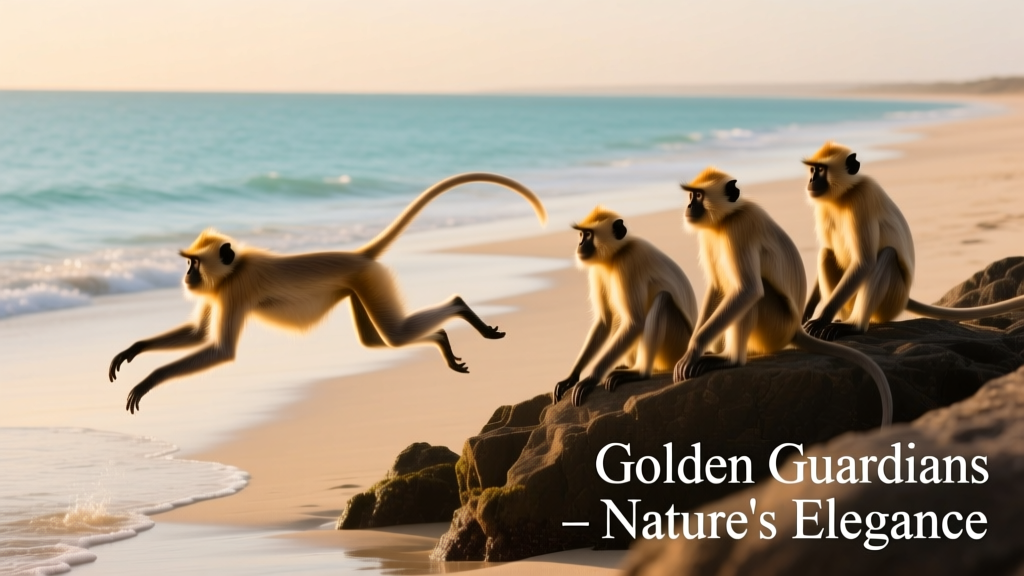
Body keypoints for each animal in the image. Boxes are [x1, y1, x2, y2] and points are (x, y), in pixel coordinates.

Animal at [108, 172, 547, 414]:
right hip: (359, 286)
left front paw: (148, 380)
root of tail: (357, 255)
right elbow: (201, 335)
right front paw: (132, 351)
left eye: (193, 264)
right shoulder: (219, 291)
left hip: (368, 279)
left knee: (393, 334)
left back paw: (458, 309)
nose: (186, 276)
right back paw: (441, 337)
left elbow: (220, 350)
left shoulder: (236, 290)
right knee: (378, 340)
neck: (237, 268)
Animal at [552, 207, 698, 407]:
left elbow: (635, 322)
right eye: (581, 234)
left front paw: (591, 379)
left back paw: (640, 372)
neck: (617, 253)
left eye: (588, 235)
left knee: (663, 300)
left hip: (678, 343)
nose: (580, 244)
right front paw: (572, 377)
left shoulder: (628, 262)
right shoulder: (598, 269)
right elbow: (605, 320)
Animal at [674, 167, 893, 427]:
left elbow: (748, 290)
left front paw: (693, 351)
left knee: (753, 295)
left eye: (698, 196)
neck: (726, 218)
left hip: (775, 326)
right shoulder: (710, 235)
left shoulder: (740, 228)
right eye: (691, 195)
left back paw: (732, 360)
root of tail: (794, 328)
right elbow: (717, 287)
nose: (689, 206)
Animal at [800, 141, 1024, 342]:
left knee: (887, 256)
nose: (811, 180)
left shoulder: (863, 197)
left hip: (891, 301)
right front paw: (807, 311)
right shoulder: (824, 207)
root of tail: (905, 297)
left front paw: (822, 319)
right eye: (812, 169)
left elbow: (864, 262)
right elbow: (830, 248)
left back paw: (855, 326)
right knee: (827, 253)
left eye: (821, 170)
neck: (844, 194)